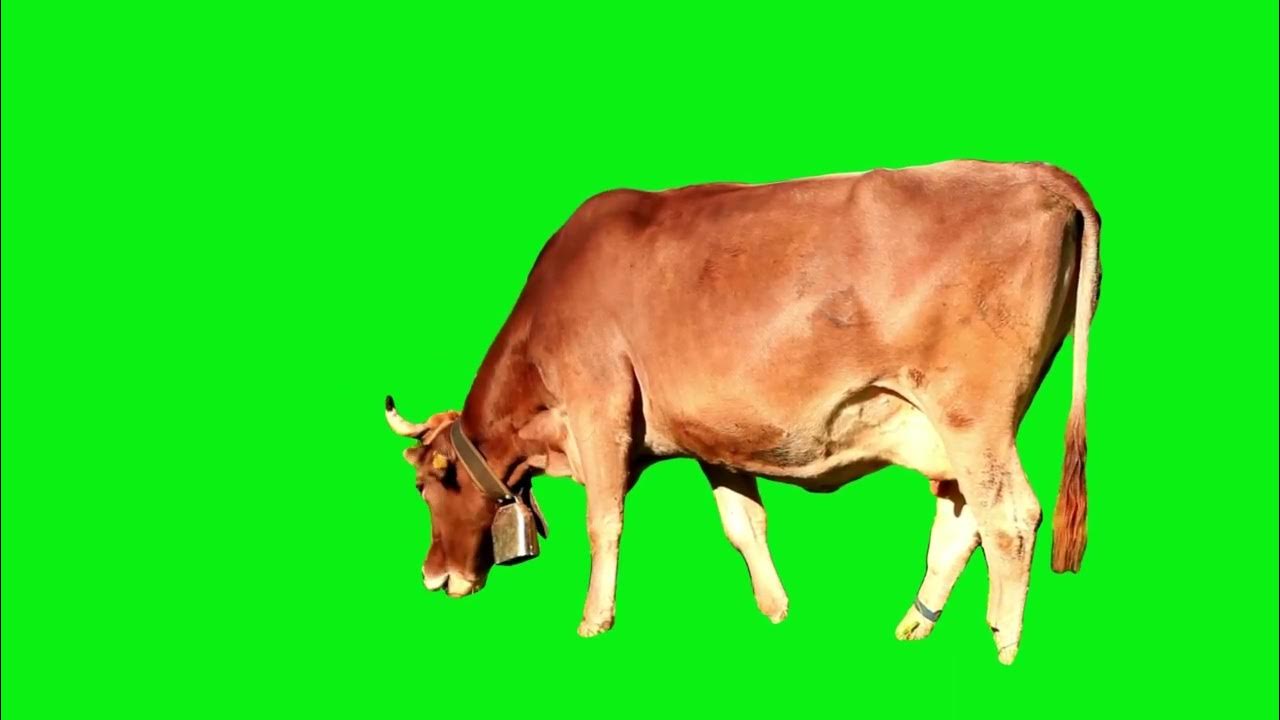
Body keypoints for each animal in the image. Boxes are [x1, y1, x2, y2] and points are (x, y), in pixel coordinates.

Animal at [385, 160, 1101, 664]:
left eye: (424, 487)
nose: (430, 577)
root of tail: (1033, 170)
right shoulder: (714, 439)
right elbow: (743, 524)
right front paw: (775, 607)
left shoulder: (599, 408)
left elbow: (604, 522)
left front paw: (593, 621)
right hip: (954, 431)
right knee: (961, 521)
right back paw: (913, 626)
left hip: (971, 416)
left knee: (1010, 517)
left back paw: (1004, 643)